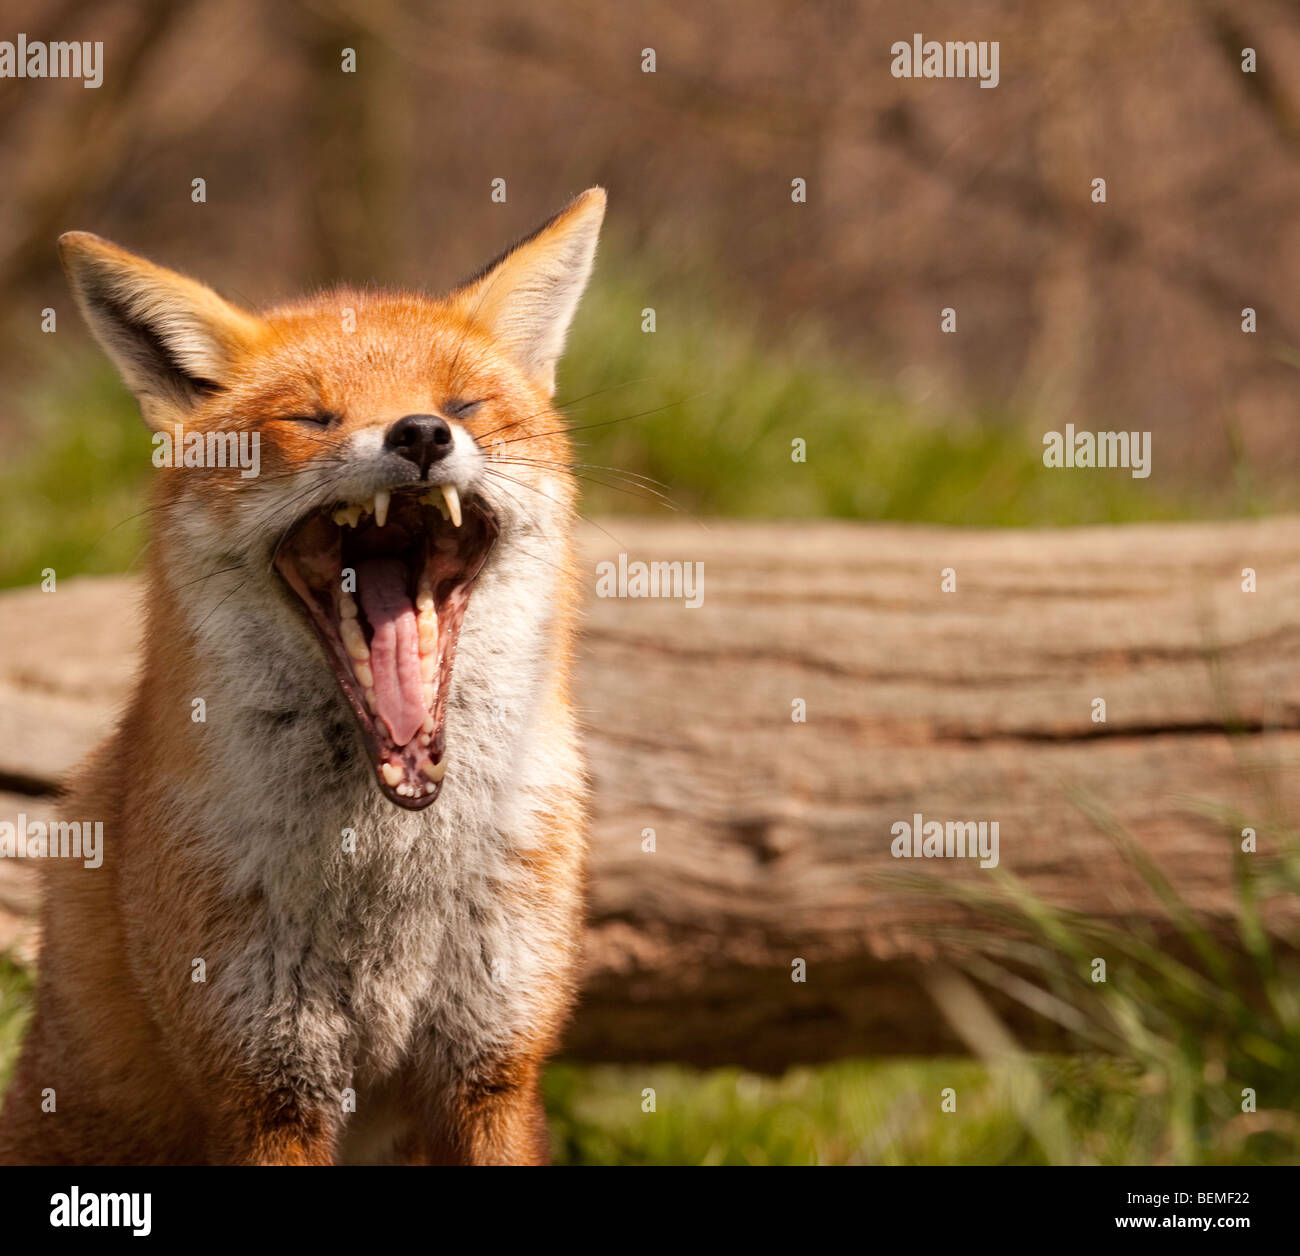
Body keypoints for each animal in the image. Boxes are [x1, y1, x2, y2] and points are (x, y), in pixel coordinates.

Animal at [0, 188, 606, 1165]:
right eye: (314, 419)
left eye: (464, 403)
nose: (422, 434)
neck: (388, 884)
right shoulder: (265, 1091)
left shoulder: (493, 1071)